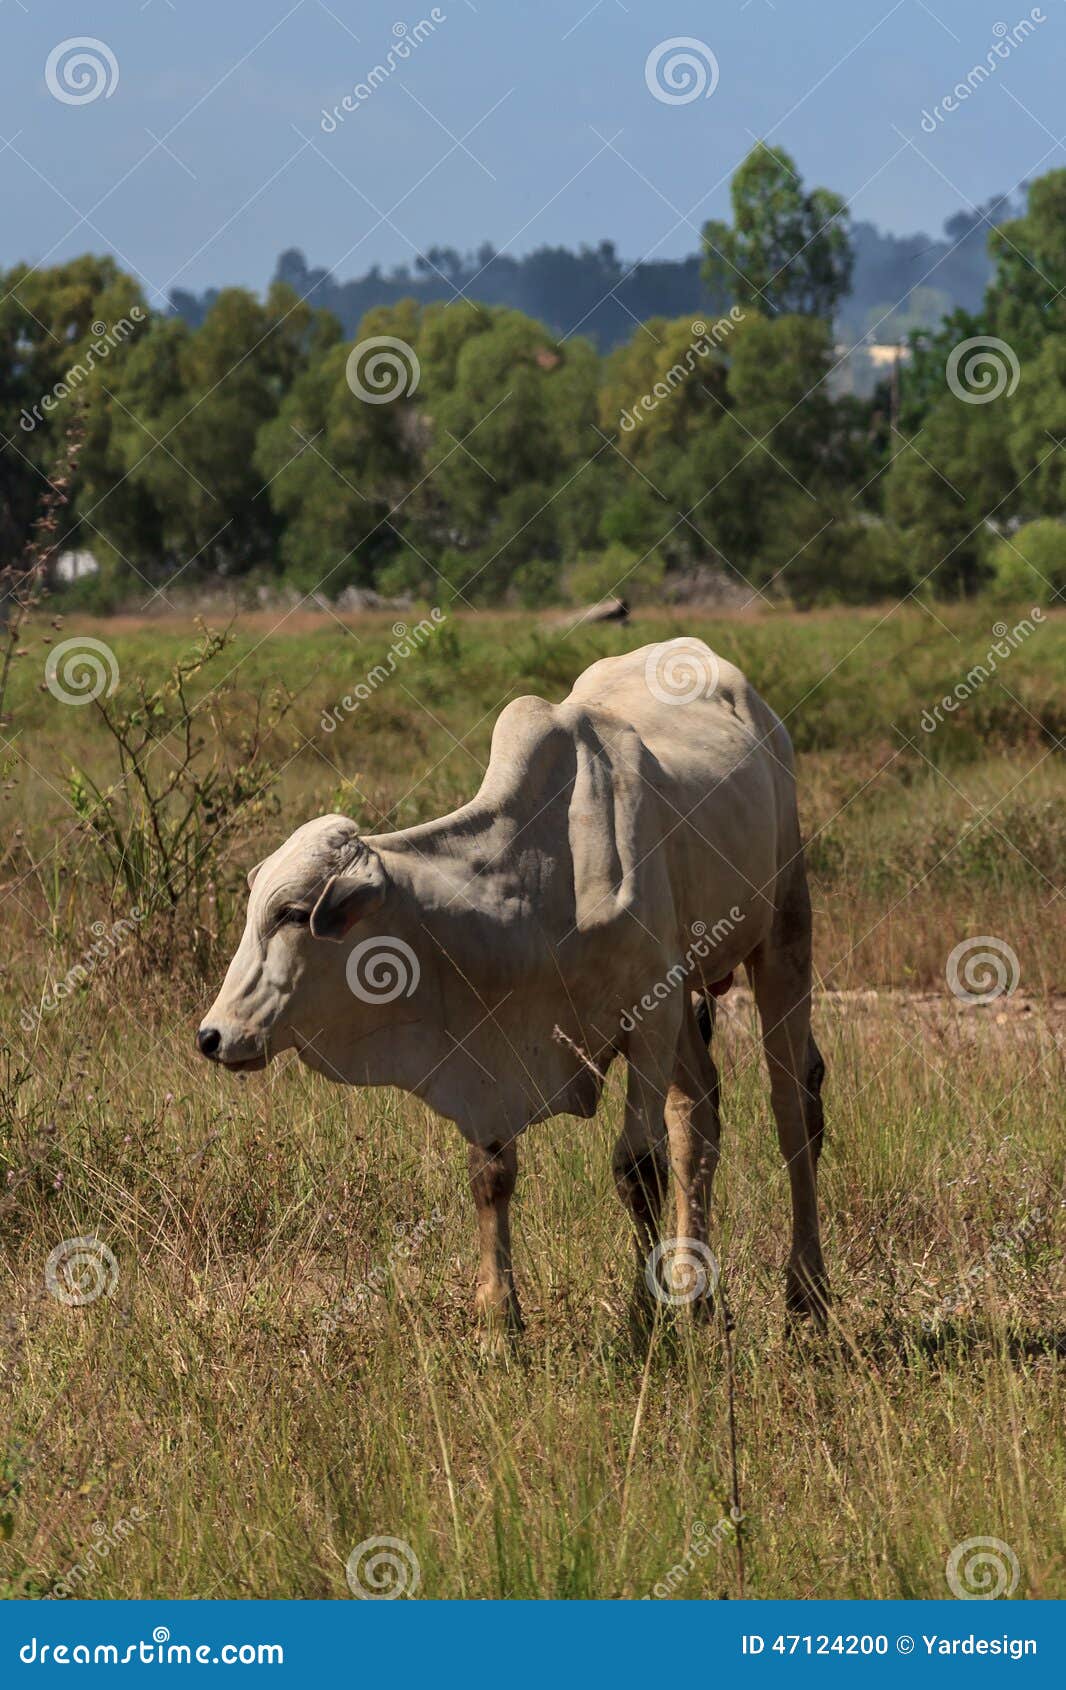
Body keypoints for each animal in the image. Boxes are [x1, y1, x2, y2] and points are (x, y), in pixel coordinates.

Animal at [197, 638, 828, 1335]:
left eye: (289, 913)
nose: (213, 1036)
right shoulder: (491, 1060)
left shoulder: (650, 1015)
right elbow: (492, 1174)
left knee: (792, 1108)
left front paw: (641, 1319)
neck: (542, 878)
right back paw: (700, 1295)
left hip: (784, 928)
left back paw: (807, 1291)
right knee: (700, 1120)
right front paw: (500, 1320)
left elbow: (638, 1169)